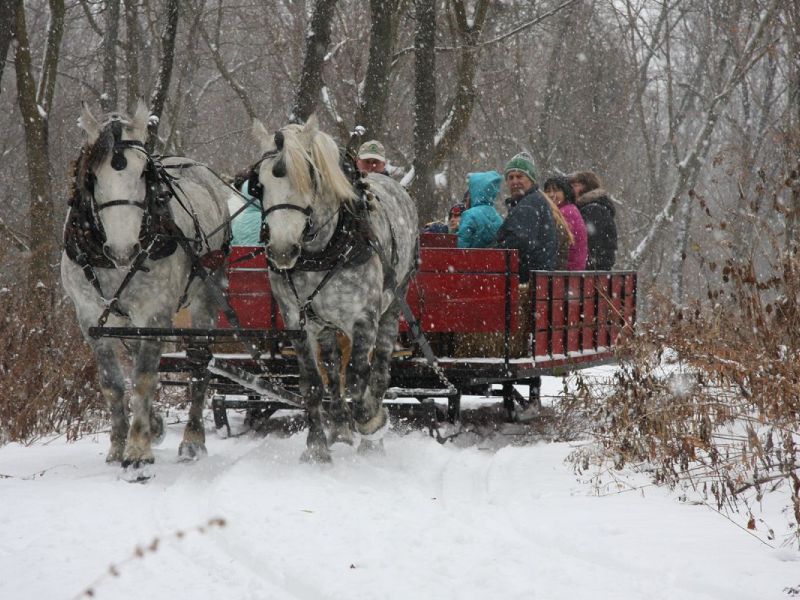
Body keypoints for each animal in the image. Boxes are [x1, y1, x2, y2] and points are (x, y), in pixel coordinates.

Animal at [61, 101, 231, 474]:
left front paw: (138, 450)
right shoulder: (91, 318)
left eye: (144, 174)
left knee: (198, 365)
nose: (124, 249)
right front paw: (119, 444)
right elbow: (112, 384)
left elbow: (142, 378)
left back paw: (193, 439)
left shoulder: (154, 313)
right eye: (93, 177)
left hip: (206, 295)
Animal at [249, 115, 418, 462]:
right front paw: (317, 447)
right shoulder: (295, 320)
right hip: (324, 321)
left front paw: (371, 422)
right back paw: (340, 429)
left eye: (309, 176)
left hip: (394, 303)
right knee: (332, 365)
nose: (282, 250)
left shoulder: (364, 316)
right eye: (258, 184)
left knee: (377, 368)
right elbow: (314, 383)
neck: (323, 250)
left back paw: (371, 436)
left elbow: (356, 377)